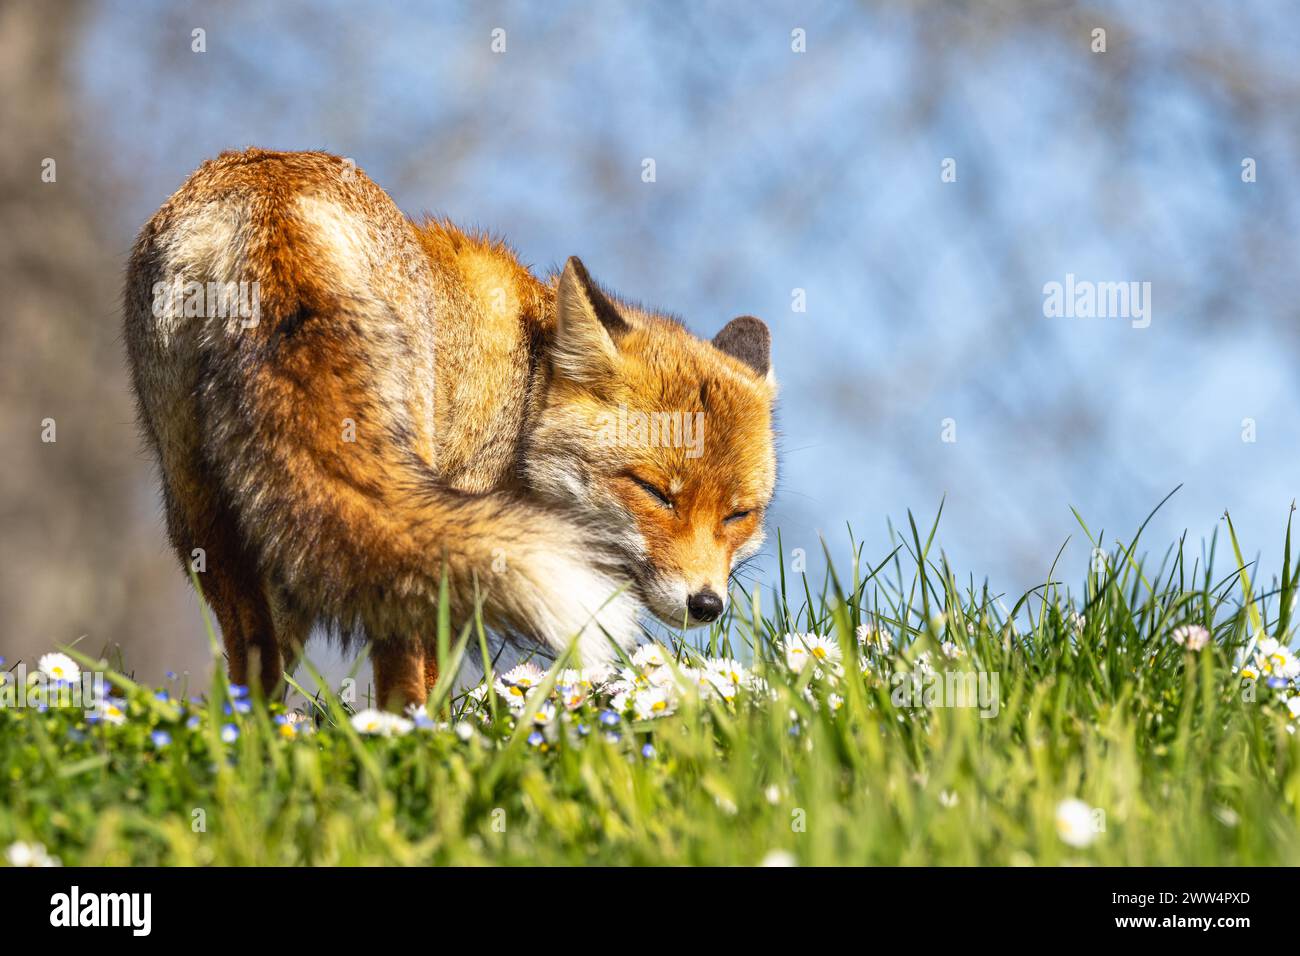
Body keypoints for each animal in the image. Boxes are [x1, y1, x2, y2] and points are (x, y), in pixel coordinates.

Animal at [124, 148, 777, 711]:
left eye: (738, 516)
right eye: (653, 492)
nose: (707, 605)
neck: (525, 383)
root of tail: (271, 192)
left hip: (203, 506)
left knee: (252, 664)